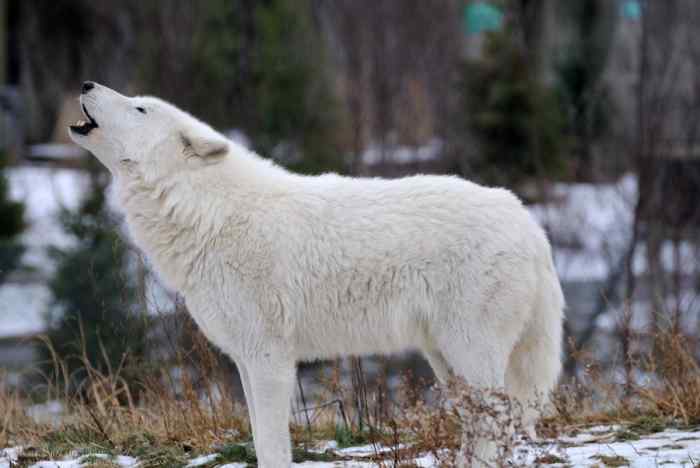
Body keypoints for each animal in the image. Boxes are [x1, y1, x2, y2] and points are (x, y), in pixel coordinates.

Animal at [69, 81, 564, 467]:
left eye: (140, 108)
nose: (87, 83)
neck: (206, 211)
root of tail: (528, 220)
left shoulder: (271, 360)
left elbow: (272, 449)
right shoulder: (245, 361)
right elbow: (258, 439)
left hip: (470, 354)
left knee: (496, 430)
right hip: (445, 360)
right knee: (482, 430)